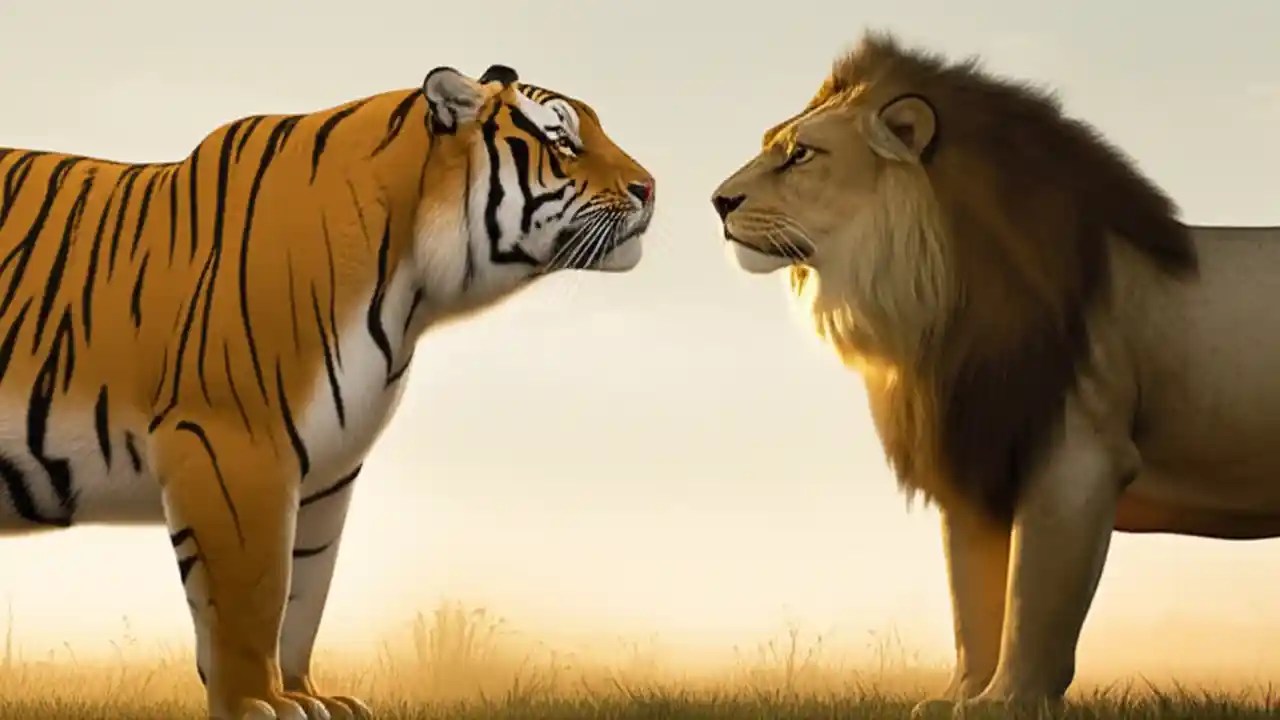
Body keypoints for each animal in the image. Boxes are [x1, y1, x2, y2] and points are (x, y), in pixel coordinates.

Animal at [0, 63, 655, 720]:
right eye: (561, 140)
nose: (650, 187)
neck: (410, 288)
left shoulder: (326, 475)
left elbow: (304, 594)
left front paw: (306, 695)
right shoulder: (233, 448)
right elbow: (253, 593)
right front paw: (256, 703)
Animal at [710, 30, 1280, 717]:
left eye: (800, 155)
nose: (718, 201)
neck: (933, 301)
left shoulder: (1076, 459)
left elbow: (1032, 599)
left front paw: (1008, 701)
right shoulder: (973, 456)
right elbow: (972, 598)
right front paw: (956, 697)